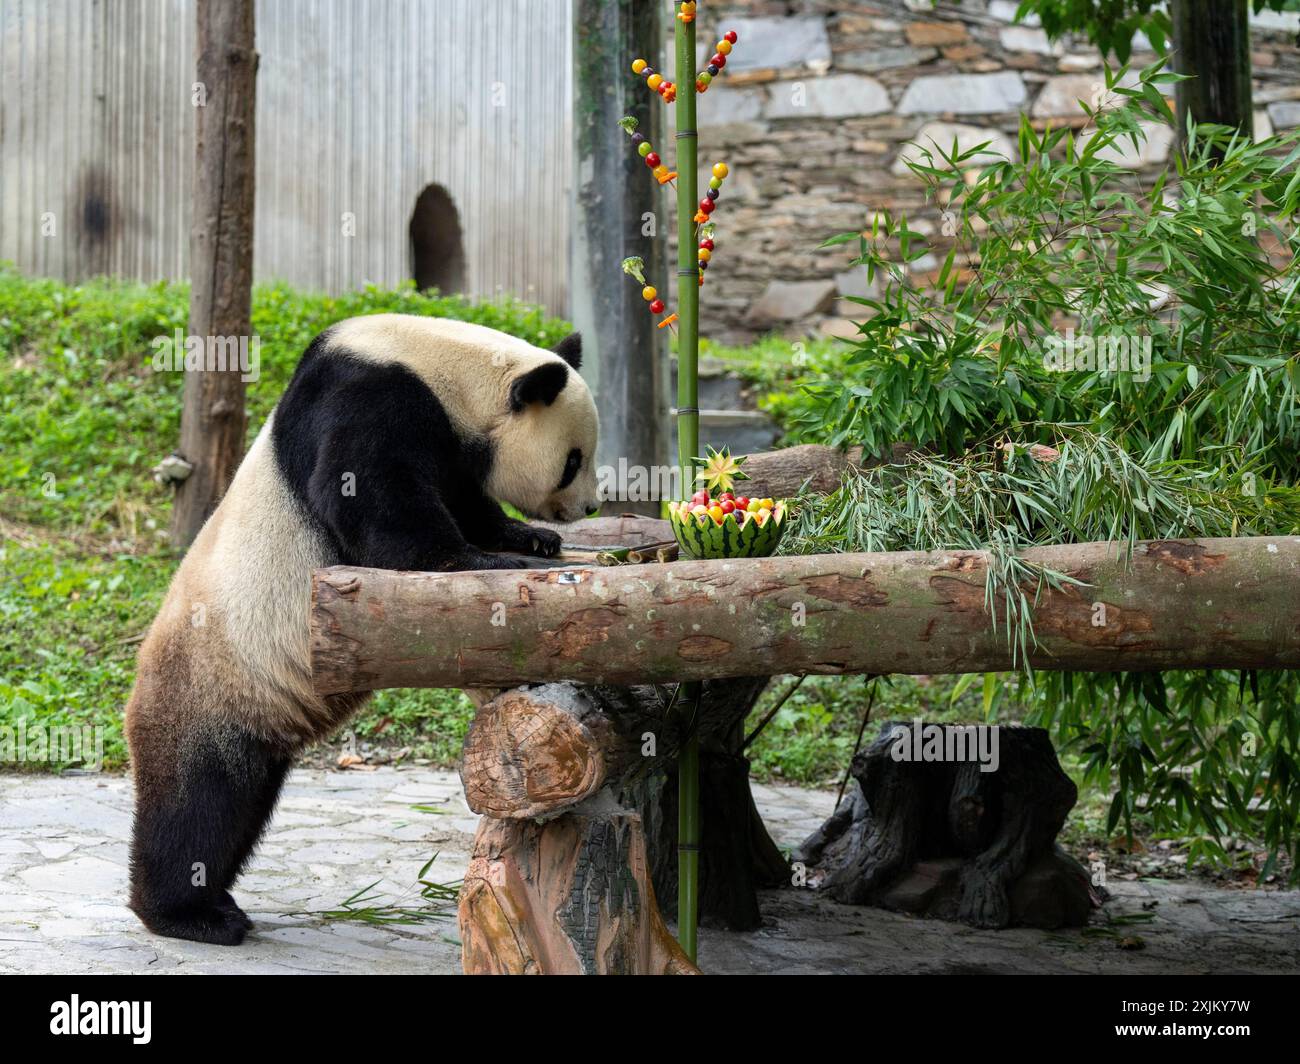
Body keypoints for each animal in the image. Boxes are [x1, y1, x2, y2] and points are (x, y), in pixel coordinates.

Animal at [124, 313, 600, 945]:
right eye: (573, 459)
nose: (588, 508)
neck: (447, 367)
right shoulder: (368, 398)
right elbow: (377, 510)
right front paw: (495, 561)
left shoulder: (444, 442)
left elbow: (464, 501)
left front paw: (528, 537)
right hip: (208, 684)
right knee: (199, 800)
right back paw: (189, 914)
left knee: (243, 802)